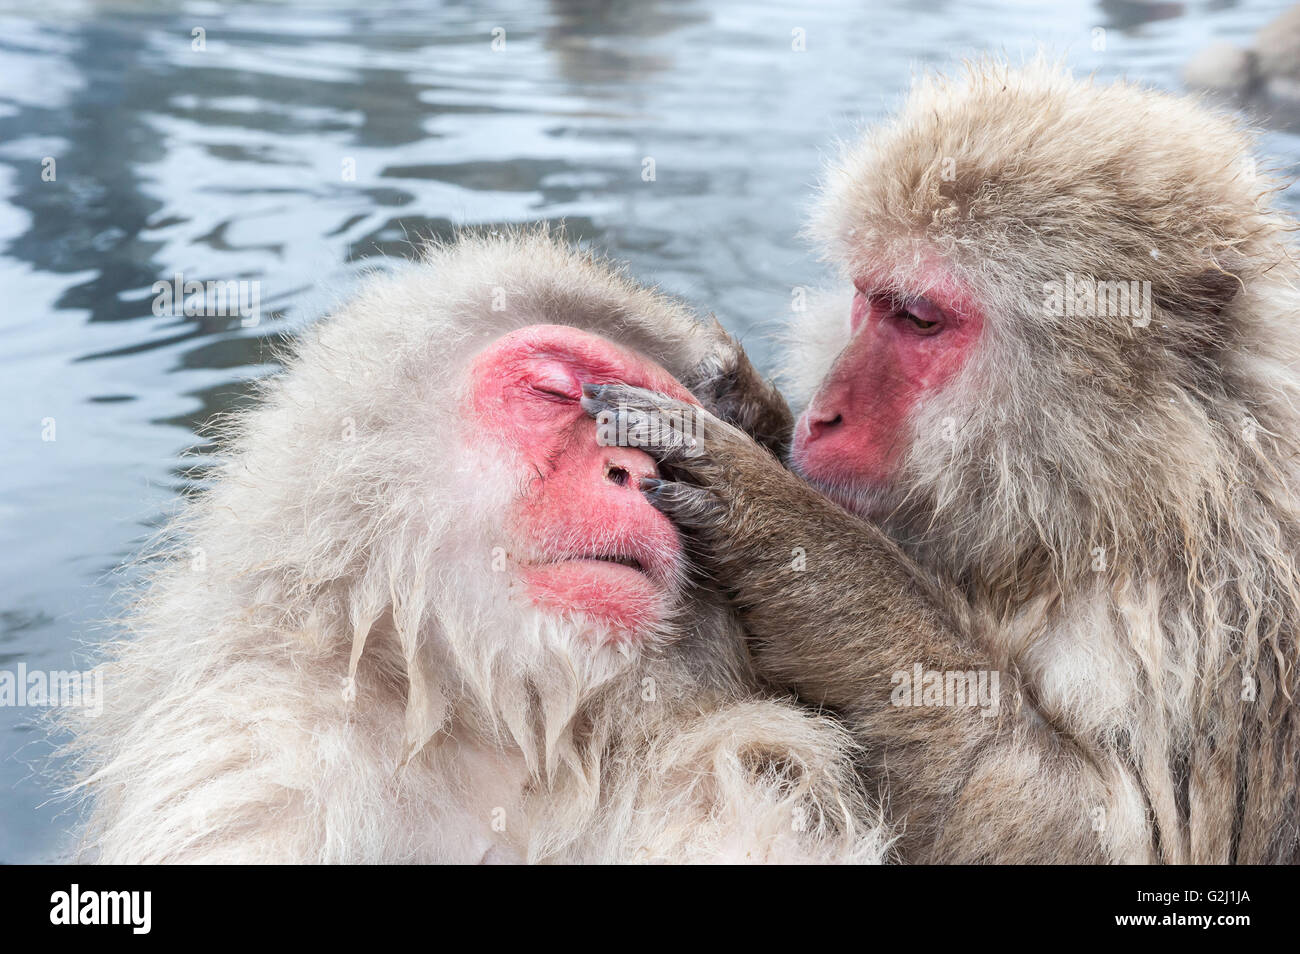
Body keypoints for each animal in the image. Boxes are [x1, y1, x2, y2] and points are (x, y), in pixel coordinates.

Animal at [581, 59, 1300, 864]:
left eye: (919, 319)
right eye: (866, 299)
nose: (822, 414)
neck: (1121, 502)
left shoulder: (1211, 626)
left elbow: (1090, 827)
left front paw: (792, 536)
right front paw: (746, 407)